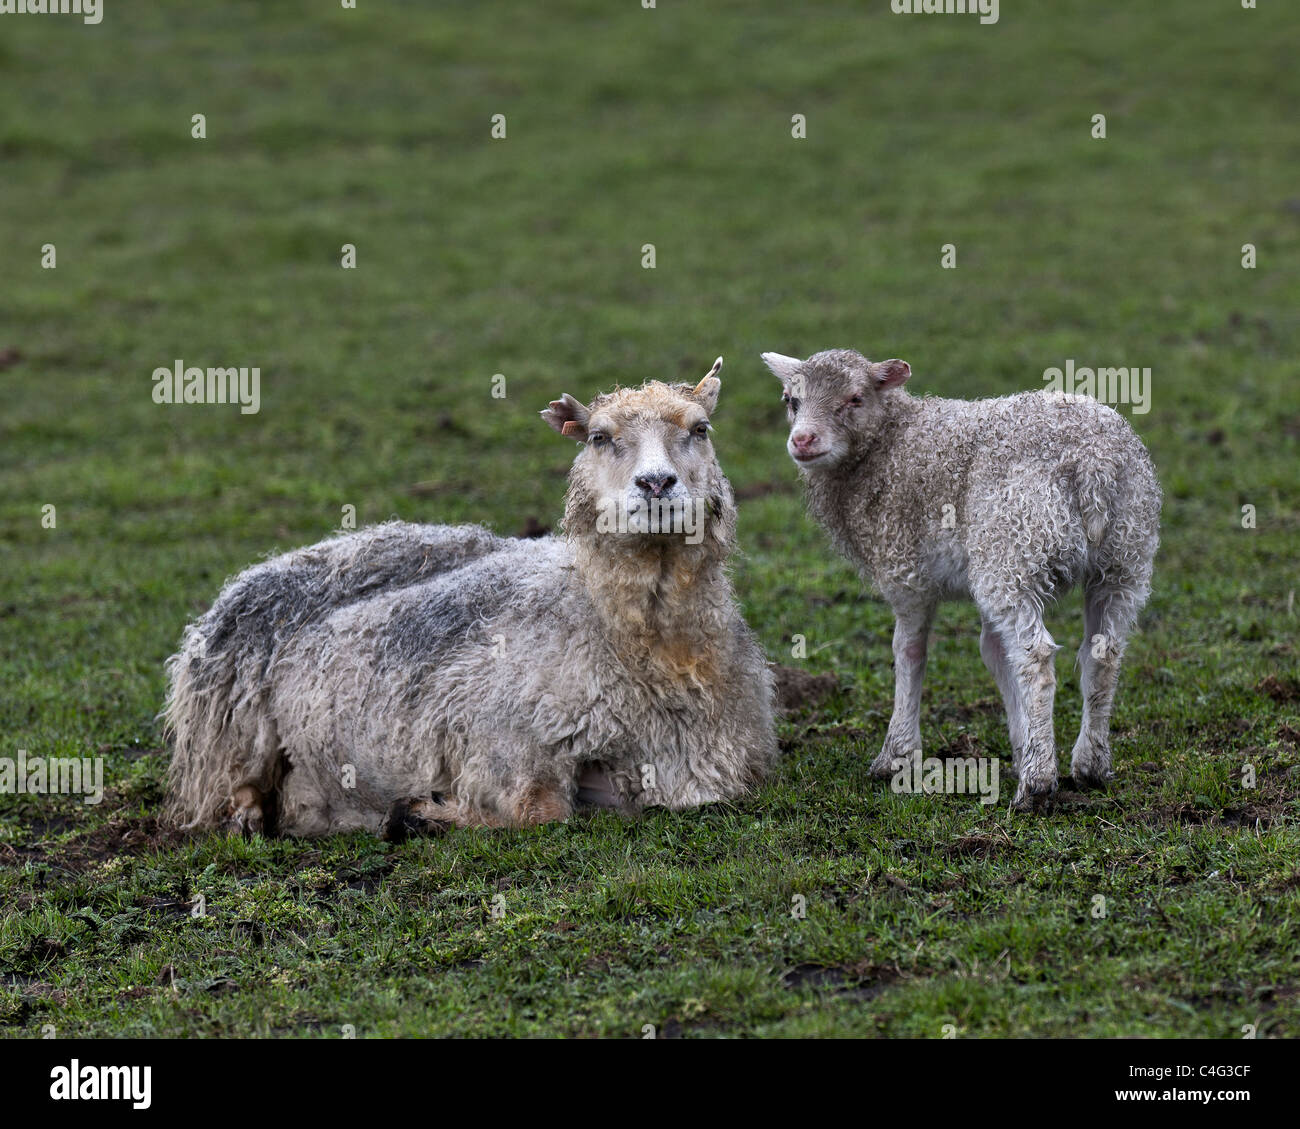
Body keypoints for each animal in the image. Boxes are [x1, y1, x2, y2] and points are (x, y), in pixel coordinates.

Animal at [162, 358, 778, 836]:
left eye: (700, 429)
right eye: (599, 437)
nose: (656, 484)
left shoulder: (717, 767)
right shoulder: (502, 749)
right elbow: (540, 812)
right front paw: (423, 813)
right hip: (230, 734)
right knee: (235, 793)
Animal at [763, 347, 1161, 811]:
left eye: (855, 398)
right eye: (791, 400)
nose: (803, 441)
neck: (890, 443)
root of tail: (1094, 461)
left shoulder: (906, 570)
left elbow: (909, 653)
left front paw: (897, 755)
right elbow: (994, 652)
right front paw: (1023, 745)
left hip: (1014, 547)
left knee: (1037, 659)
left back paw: (1037, 784)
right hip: (1121, 556)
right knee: (1103, 654)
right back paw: (1089, 766)